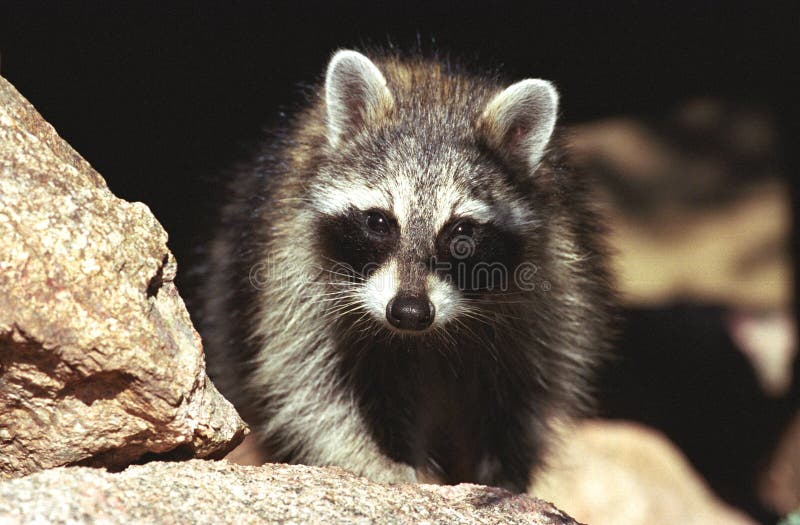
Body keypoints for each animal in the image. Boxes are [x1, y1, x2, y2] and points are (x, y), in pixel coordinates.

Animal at [198, 49, 612, 492]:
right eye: (379, 222)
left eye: (461, 232)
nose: (410, 313)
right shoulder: (291, 271)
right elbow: (308, 386)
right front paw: (377, 462)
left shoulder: (552, 285)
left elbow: (524, 394)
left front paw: (501, 476)